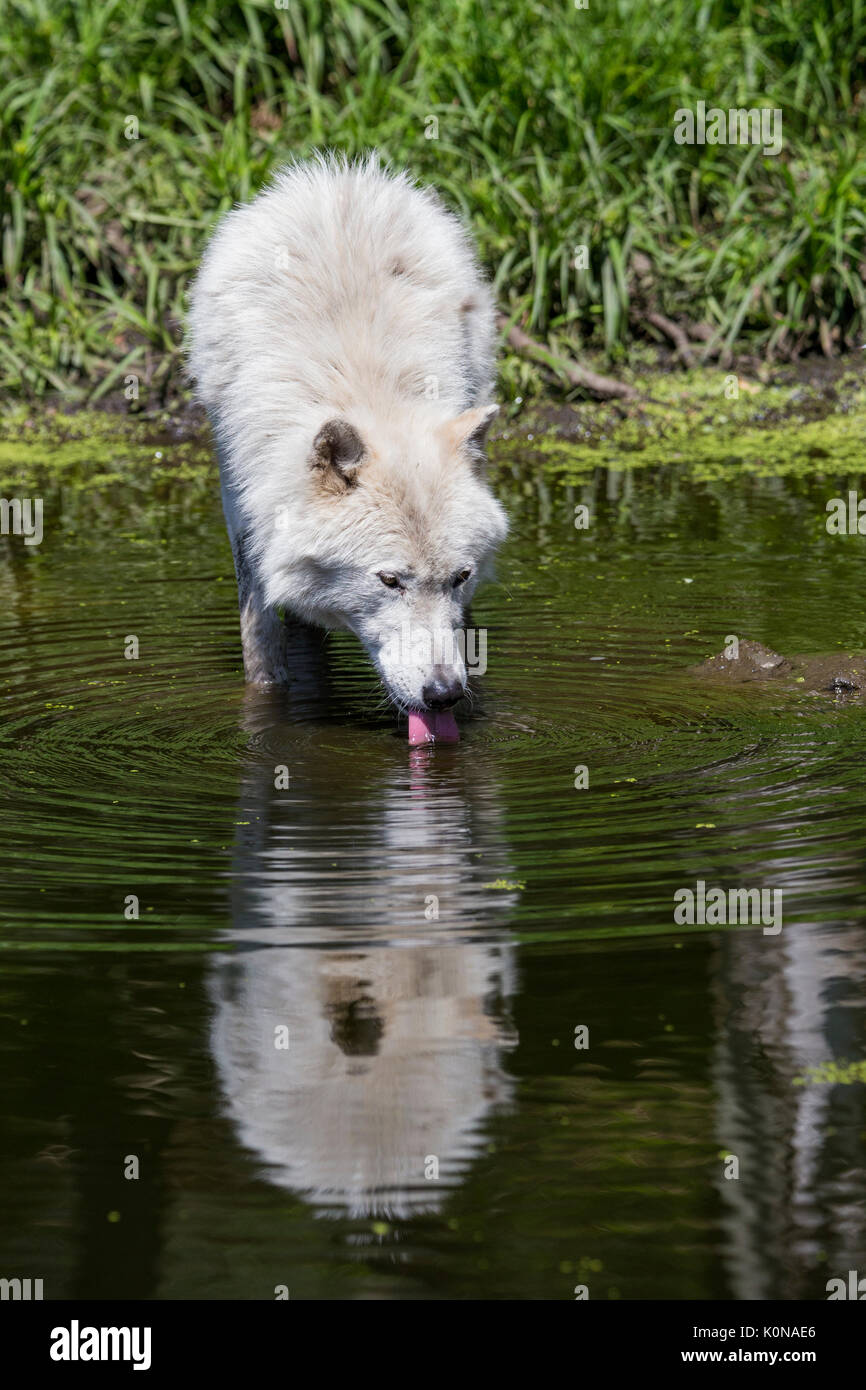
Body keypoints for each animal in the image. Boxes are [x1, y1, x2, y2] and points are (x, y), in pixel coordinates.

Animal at [187, 153, 508, 742]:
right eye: (389, 580)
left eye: (460, 577)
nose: (443, 694)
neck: (368, 389)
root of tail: (343, 172)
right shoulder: (243, 513)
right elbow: (261, 643)